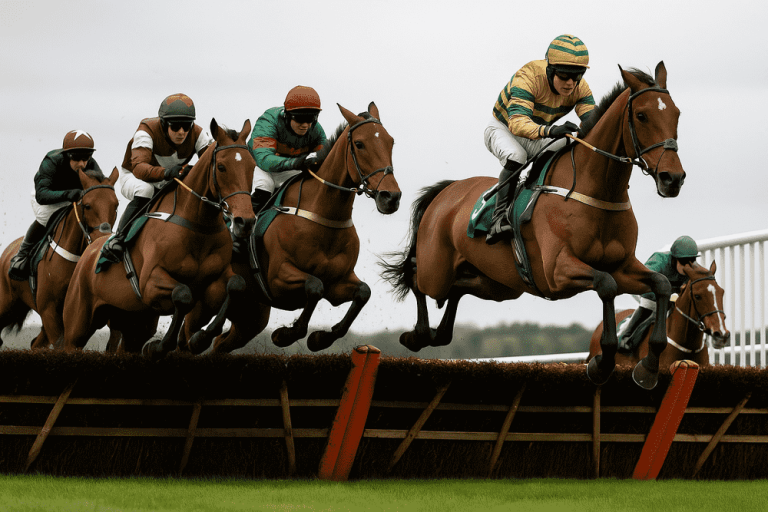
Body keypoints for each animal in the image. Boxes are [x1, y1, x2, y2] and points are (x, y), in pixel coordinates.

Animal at [60, 119, 256, 358]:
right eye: (221, 167)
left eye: (252, 166)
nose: (245, 221)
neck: (198, 228)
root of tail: (91, 249)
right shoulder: (150, 283)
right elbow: (183, 294)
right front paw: (159, 346)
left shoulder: (216, 279)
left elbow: (236, 285)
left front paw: (199, 339)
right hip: (78, 325)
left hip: (132, 321)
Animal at [183, 102, 401, 355]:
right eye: (359, 143)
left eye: (390, 141)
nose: (390, 197)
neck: (323, 218)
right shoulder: (279, 278)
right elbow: (314, 287)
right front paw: (286, 334)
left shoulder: (338, 283)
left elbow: (363, 292)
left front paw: (321, 338)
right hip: (206, 301)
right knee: (186, 336)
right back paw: (194, 339)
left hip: (251, 316)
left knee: (221, 342)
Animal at [380, 63, 685, 390]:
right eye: (641, 115)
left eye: (676, 114)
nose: (673, 179)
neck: (595, 191)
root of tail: (446, 192)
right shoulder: (557, 271)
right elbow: (606, 285)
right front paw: (602, 364)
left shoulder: (623, 266)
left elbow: (661, 284)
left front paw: (648, 367)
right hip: (436, 269)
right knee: (417, 279)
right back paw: (417, 334)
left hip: (497, 284)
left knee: (457, 290)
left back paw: (437, 333)